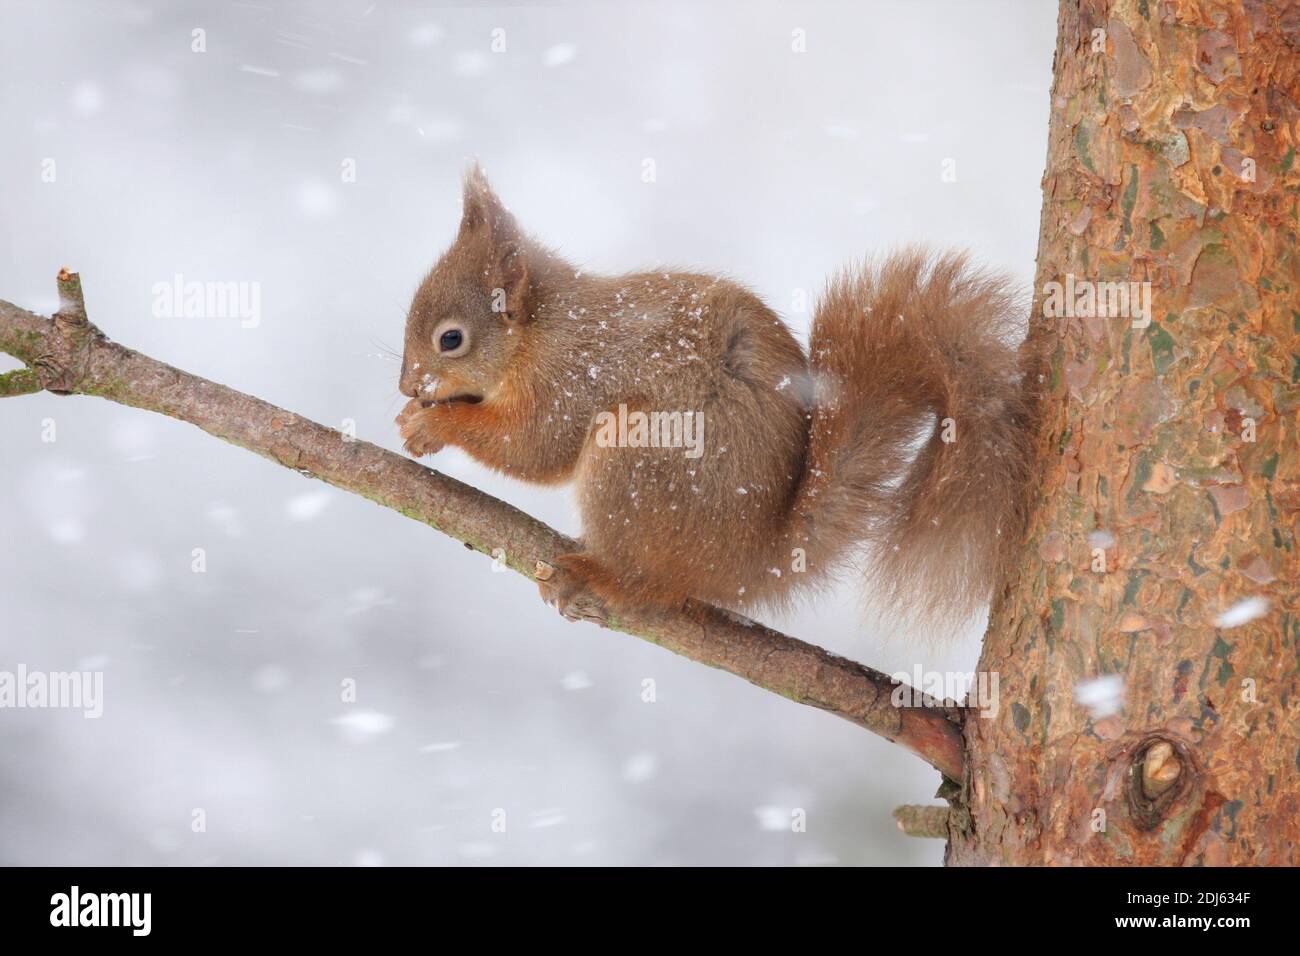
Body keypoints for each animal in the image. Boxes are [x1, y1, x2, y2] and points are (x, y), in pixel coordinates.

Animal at [397, 166, 1035, 626]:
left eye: (451, 339)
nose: (406, 385)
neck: (540, 331)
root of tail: (745, 567)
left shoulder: (572, 378)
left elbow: (534, 448)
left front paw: (434, 425)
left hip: (637, 463)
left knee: (654, 588)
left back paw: (603, 579)